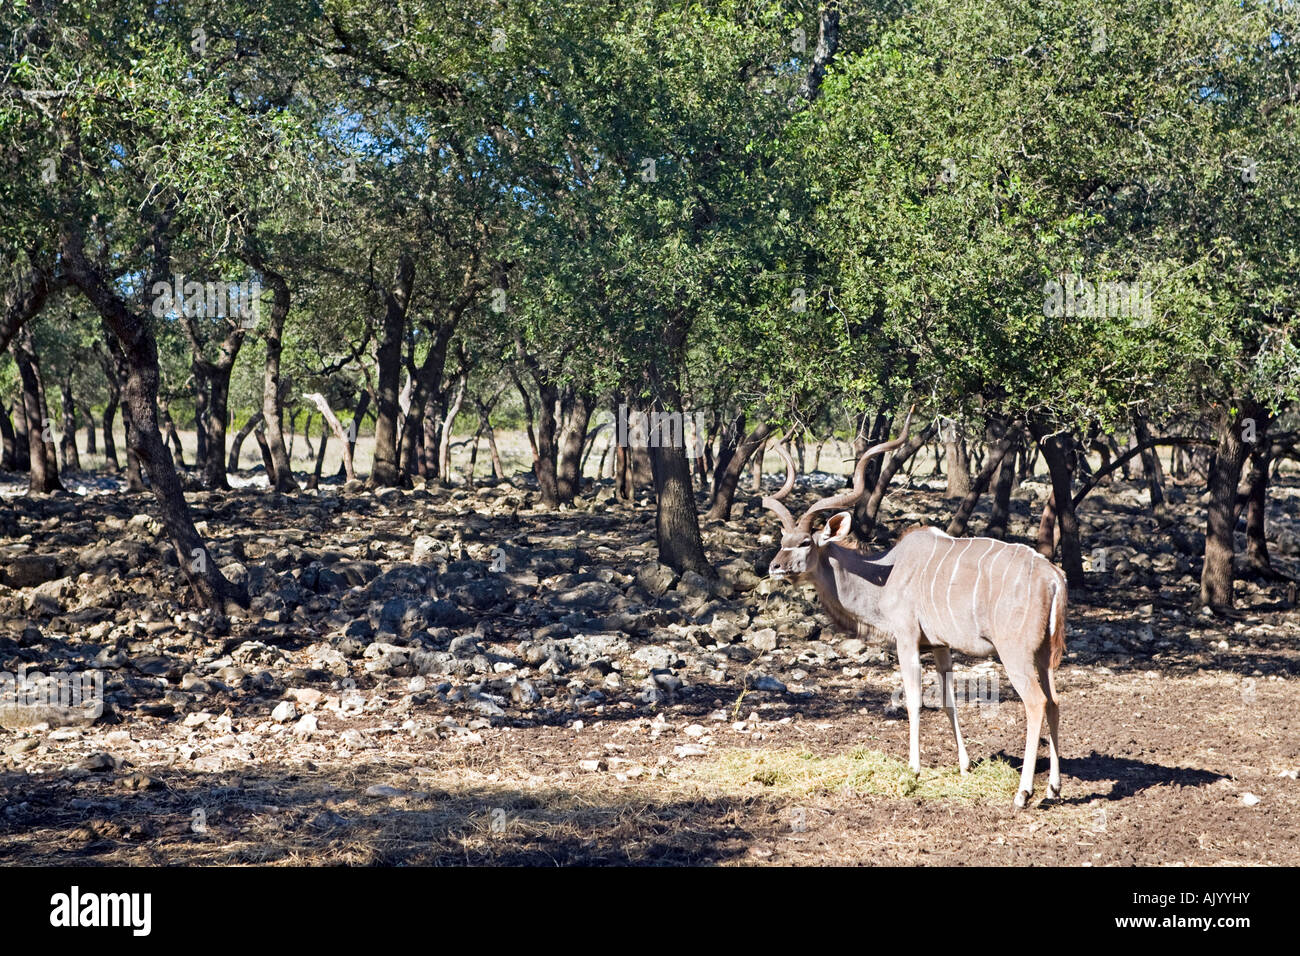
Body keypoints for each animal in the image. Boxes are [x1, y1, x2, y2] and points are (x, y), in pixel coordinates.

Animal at [762, 414, 1067, 809]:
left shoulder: (906, 639)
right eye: (782, 539)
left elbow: (914, 701)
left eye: (803, 543)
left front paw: (914, 769)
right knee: (1055, 701)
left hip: (1015, 654)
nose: (774, 567)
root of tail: (1054, 576)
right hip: (1043, 656)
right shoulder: (939, 645)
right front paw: (964, 765)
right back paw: (1053, 788)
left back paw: (1023, 792)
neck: (886, 572)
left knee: (1036, 703)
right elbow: (949, 701)